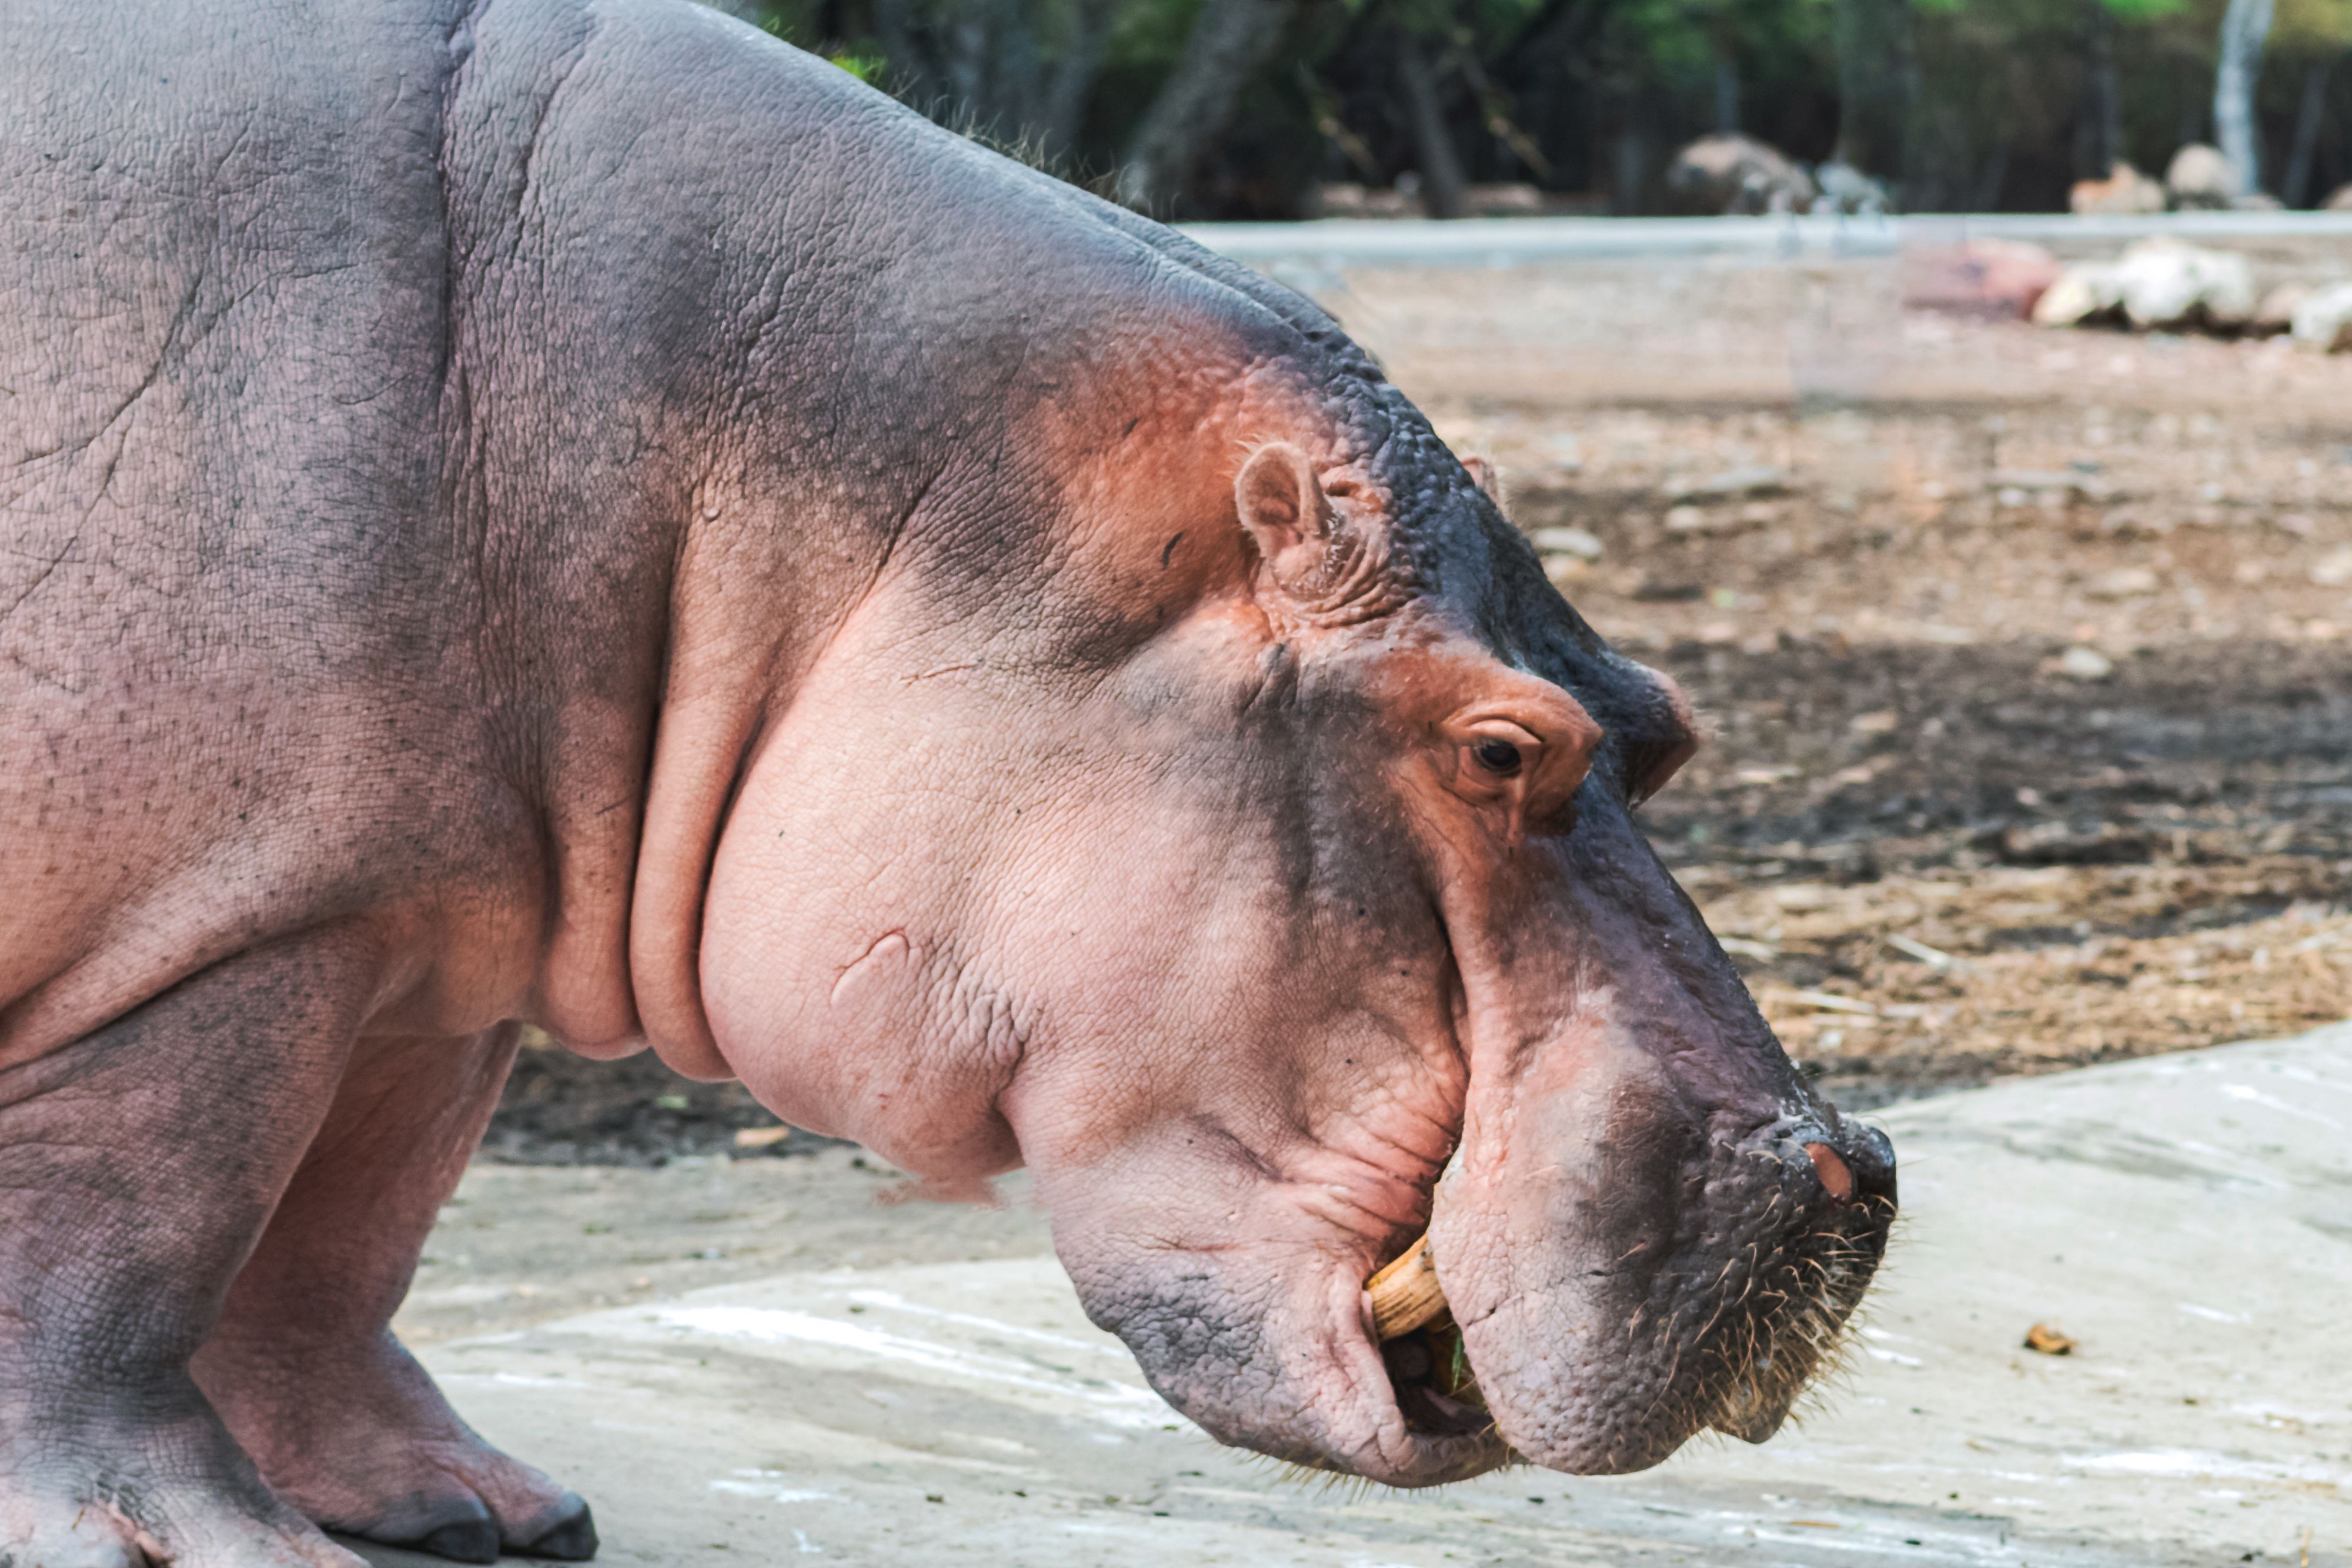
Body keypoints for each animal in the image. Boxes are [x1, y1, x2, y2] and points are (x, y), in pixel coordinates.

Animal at [0, 1, 1895, 1563]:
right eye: (1501, 745)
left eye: (1659, 719)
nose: (1846, 1169)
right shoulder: (217, 931)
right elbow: (131, 1239)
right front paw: (190, 1547)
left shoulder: (423, 930)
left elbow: (348, 1237)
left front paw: (488, 1513)